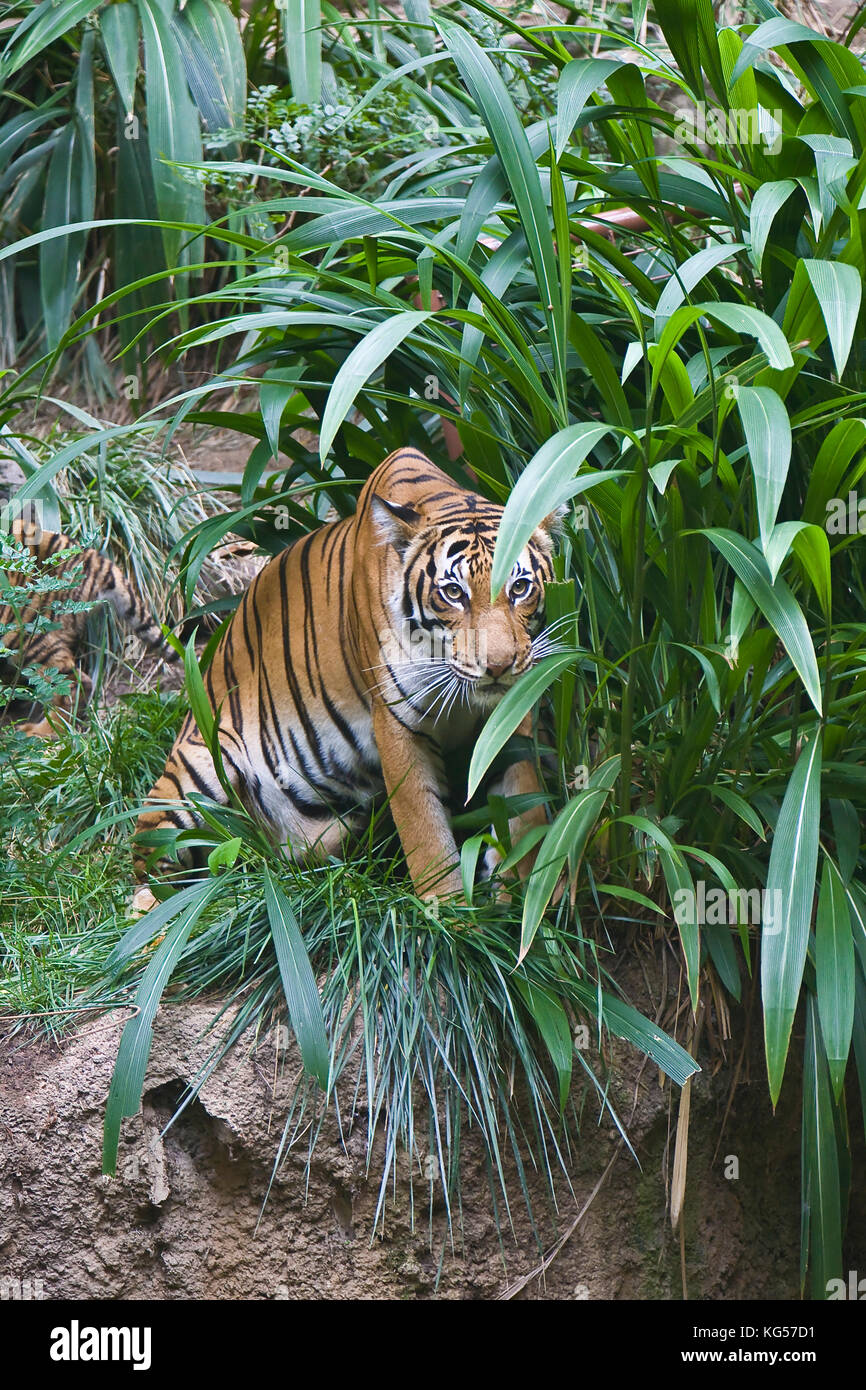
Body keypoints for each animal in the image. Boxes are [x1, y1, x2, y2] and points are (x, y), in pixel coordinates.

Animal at [135, 448, 565, 900]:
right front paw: (447, 908)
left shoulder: (515, 707)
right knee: (148, 867)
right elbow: (425, 829)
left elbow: (525, 798)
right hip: (197, 772)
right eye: (453, 593)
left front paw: (532, 887)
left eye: (519, 588)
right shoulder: (397, 724)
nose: (497, 666)